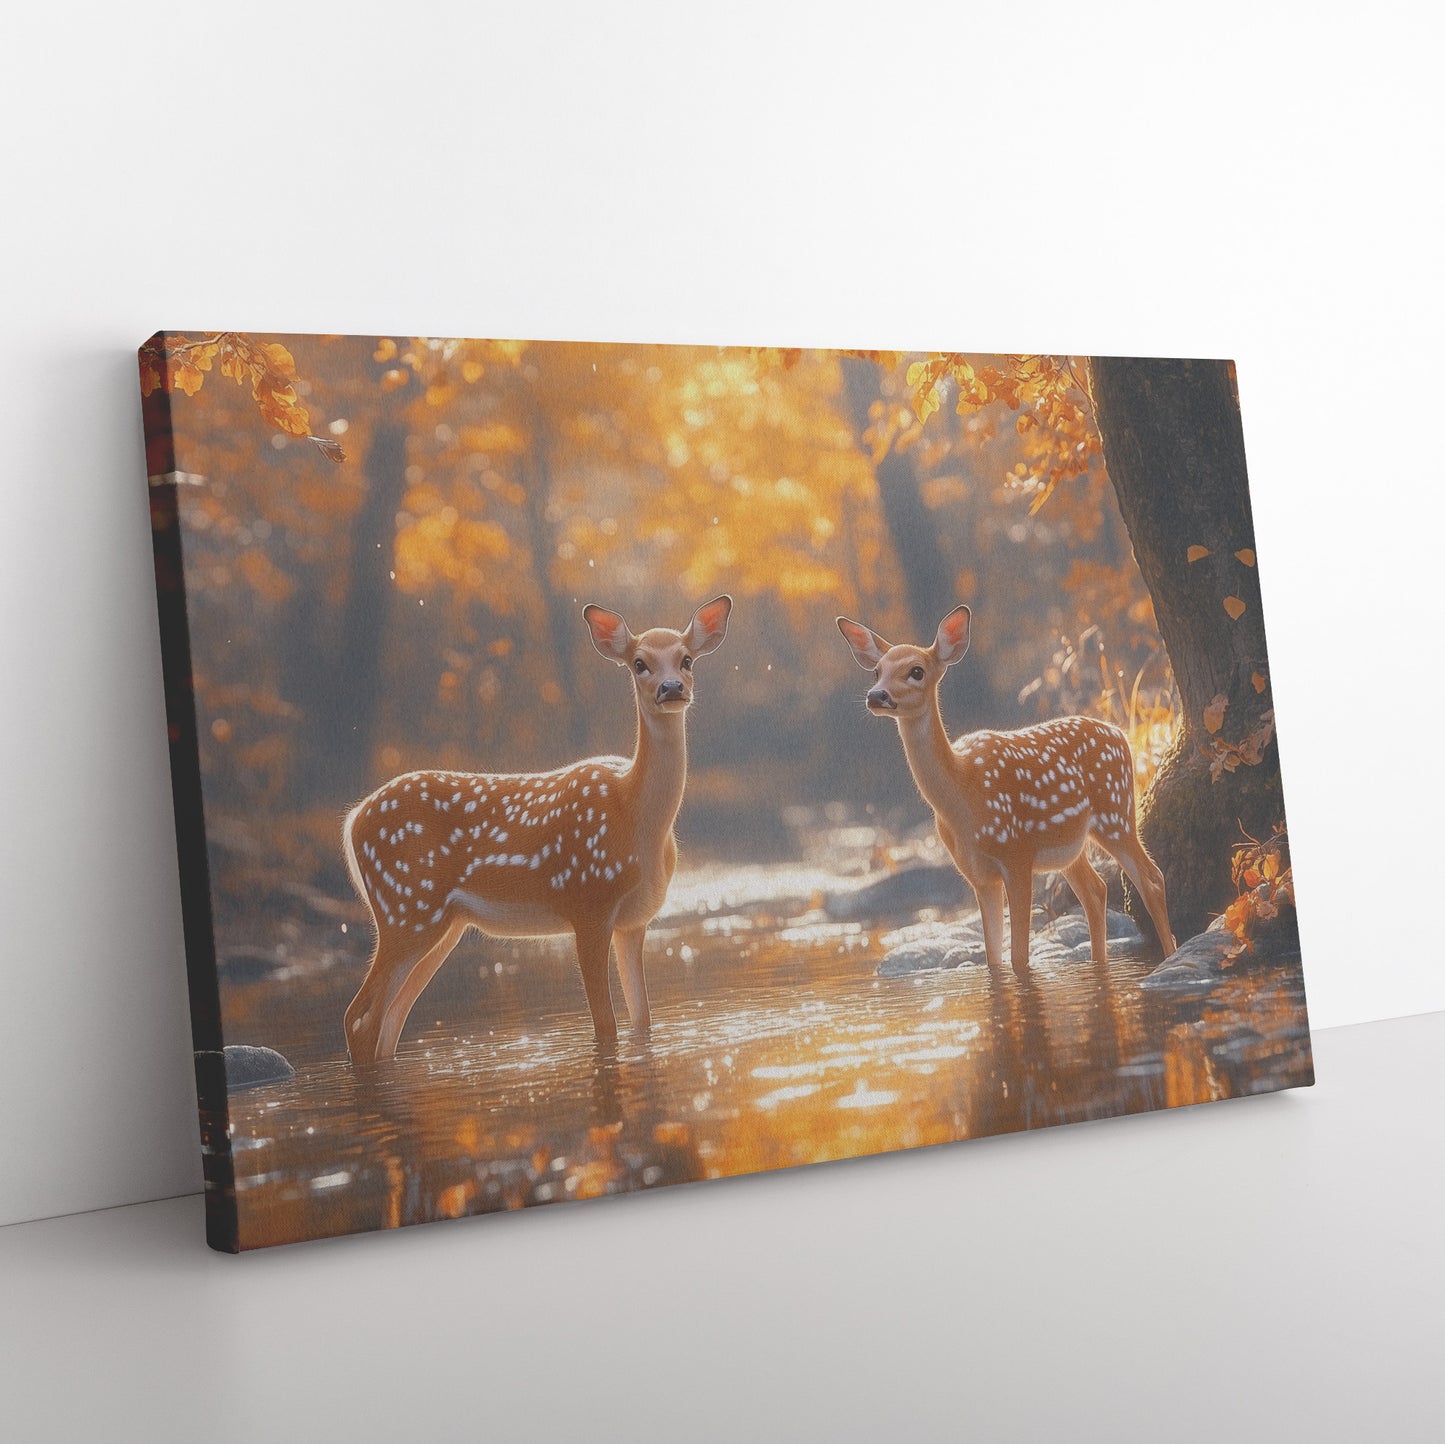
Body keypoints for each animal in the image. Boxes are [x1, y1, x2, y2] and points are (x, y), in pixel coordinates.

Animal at [341, 596, 733, 1063]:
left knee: (388, 1024)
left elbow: (643, 1023)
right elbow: (606, 1027)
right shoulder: (588, 903)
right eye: (639, 663)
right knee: (360, 1018)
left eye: (686, 659)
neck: (636, 818)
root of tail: (352, 820)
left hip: (442, 924)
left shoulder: (635, 921)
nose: (672, 688)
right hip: (405, 907)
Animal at [836, 605, 1176, 975]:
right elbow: (993, 960)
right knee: (1095, 891)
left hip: (1115, 811)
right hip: (1069, 843)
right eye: (877, 671)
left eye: (916, 671)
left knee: (1152, 878)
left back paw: (1170, 956)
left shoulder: (1017, 854)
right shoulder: (976, 872)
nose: (877, 696)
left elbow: (1019, 958)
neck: (963, 791)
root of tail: (1119, 734)